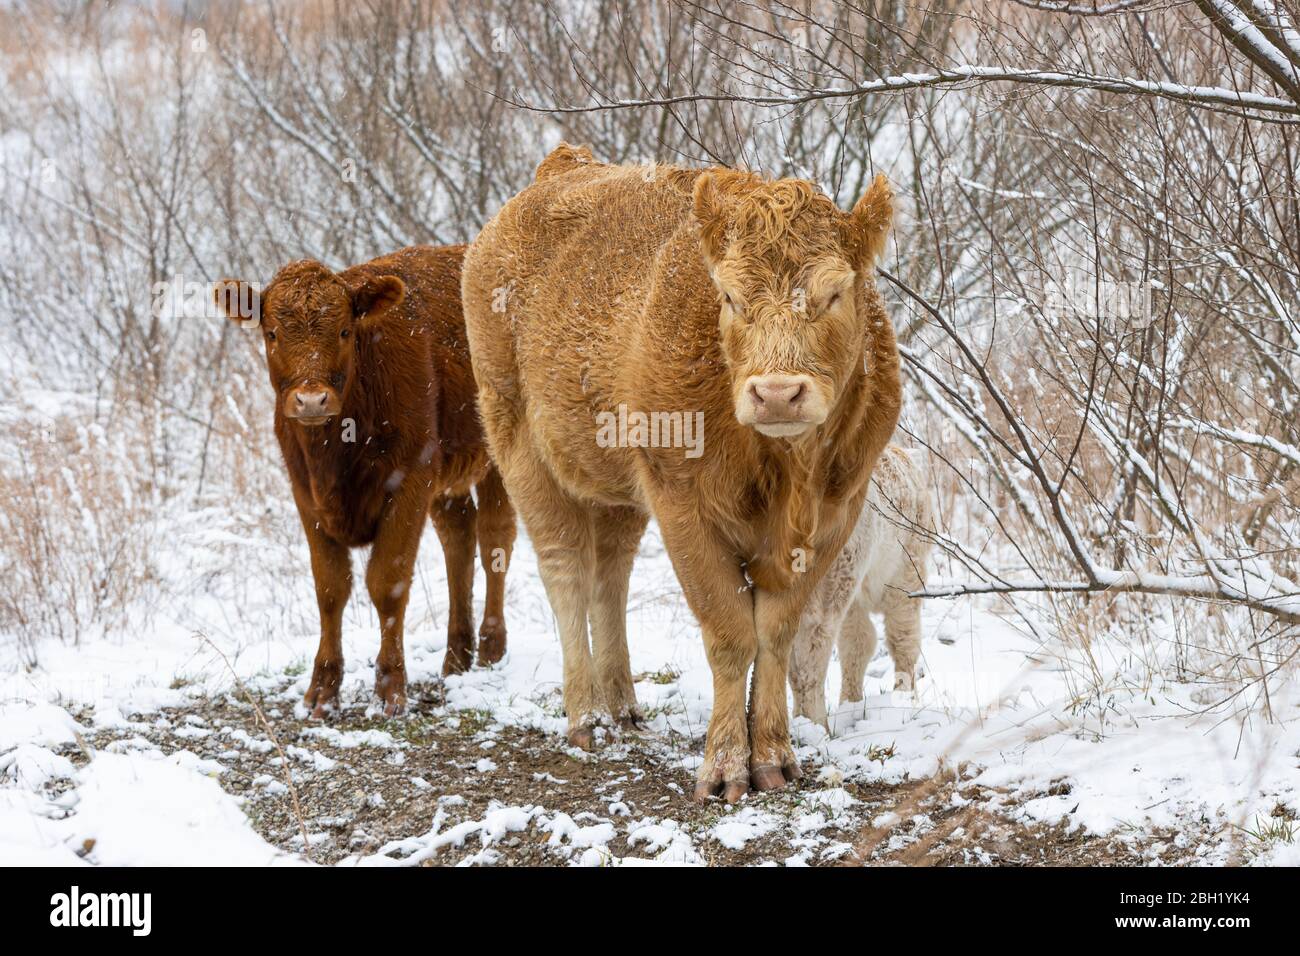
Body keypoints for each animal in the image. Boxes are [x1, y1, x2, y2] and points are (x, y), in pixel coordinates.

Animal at [213, 245, 515, 717]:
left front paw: (391, 687)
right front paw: (322, 690)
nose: (311, 400)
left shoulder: (411, 480)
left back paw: (490, 650)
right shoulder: (305, 492)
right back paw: (455, 657)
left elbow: (386, 583)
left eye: (343, 331)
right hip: (449, 473)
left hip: (499, 453)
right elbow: (330, 588)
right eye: (273, 334)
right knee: (458, 539)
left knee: (493, 540)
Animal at [462, 144, 900, 801]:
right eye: (730, 298)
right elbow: (730, 632)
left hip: (618, 489)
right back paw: (583, 717)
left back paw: (621, 707)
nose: (777, 393)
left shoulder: (832, 516)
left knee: (609, 577)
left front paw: (775, 756)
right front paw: (726, 767)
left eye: (834, 294)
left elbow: (775, 633)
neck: (785, 468)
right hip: (519, 446)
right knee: (566, 572)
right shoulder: (682, 507)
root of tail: (560, 170)